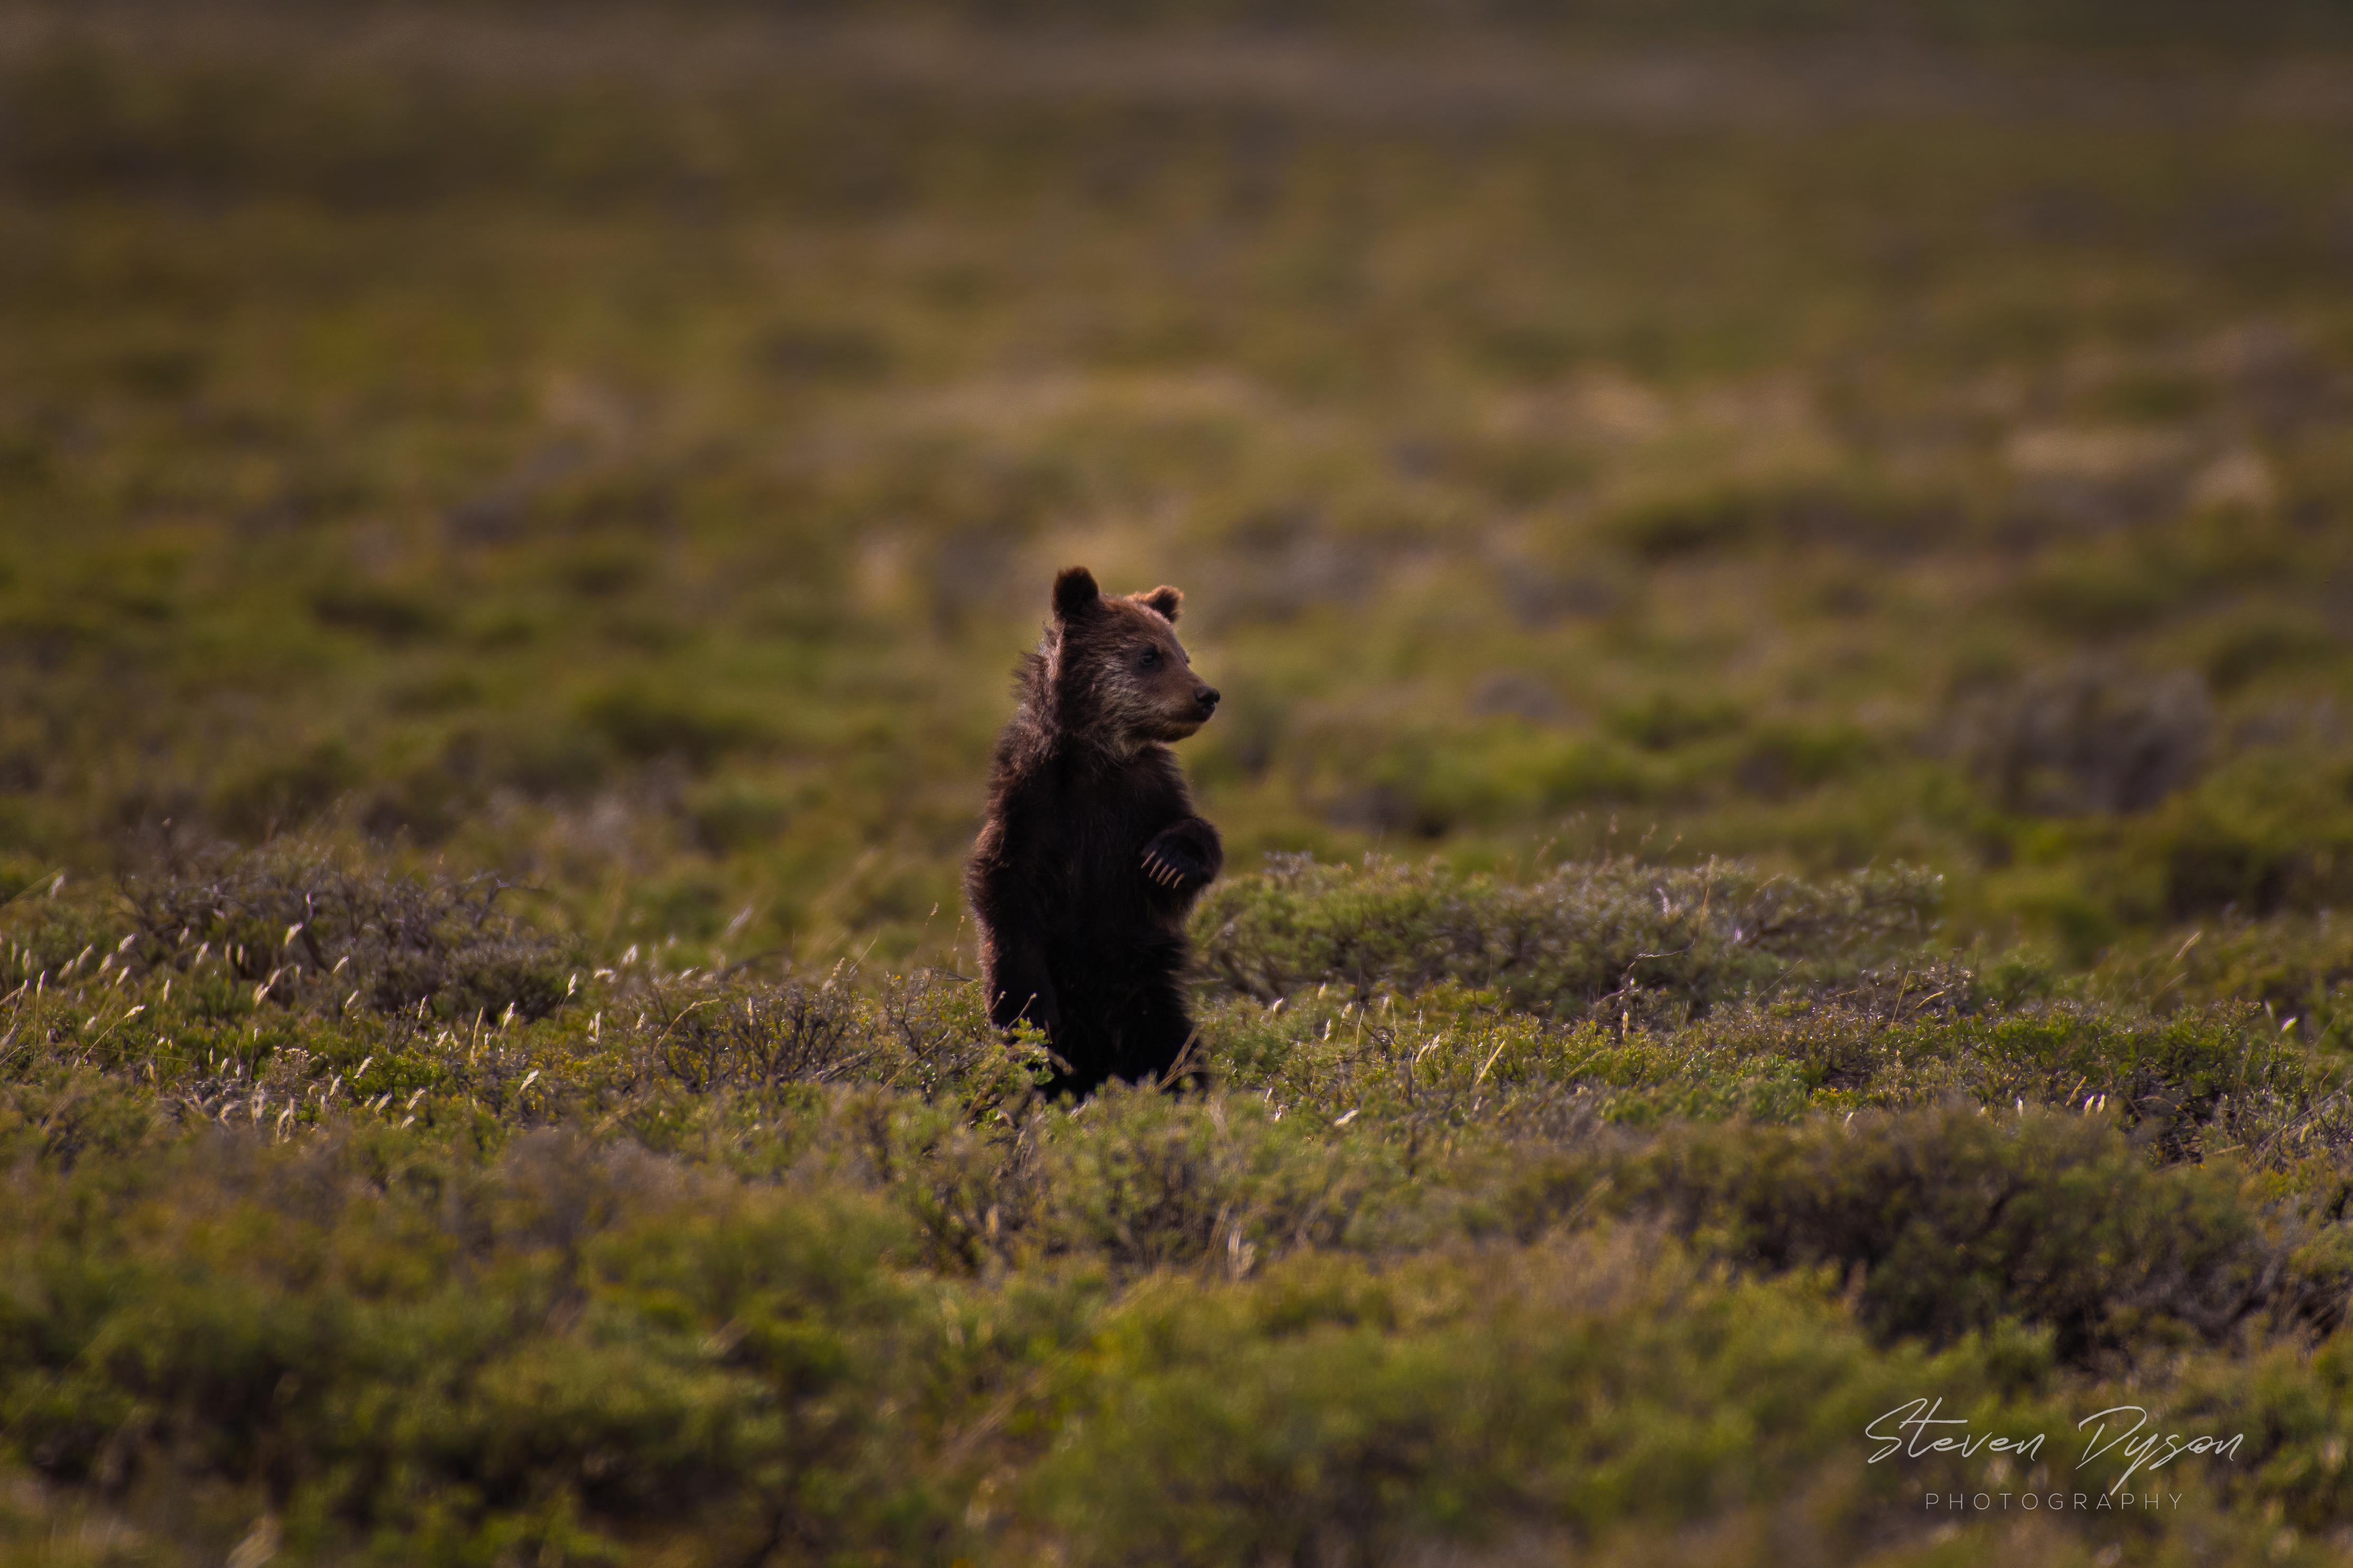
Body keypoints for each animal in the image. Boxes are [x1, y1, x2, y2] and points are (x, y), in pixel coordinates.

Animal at [966, 566, 1224, 1095]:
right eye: (1149, 655)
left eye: (1182, 654)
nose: (1206, 695)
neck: (1098, 761)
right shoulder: (1030, 808)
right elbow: (1003, 893)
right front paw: (1026, 1005)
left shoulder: (1144, 799)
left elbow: (1178, 859)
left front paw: (1169, 859)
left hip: (1147, 996)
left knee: (1176, 1054)